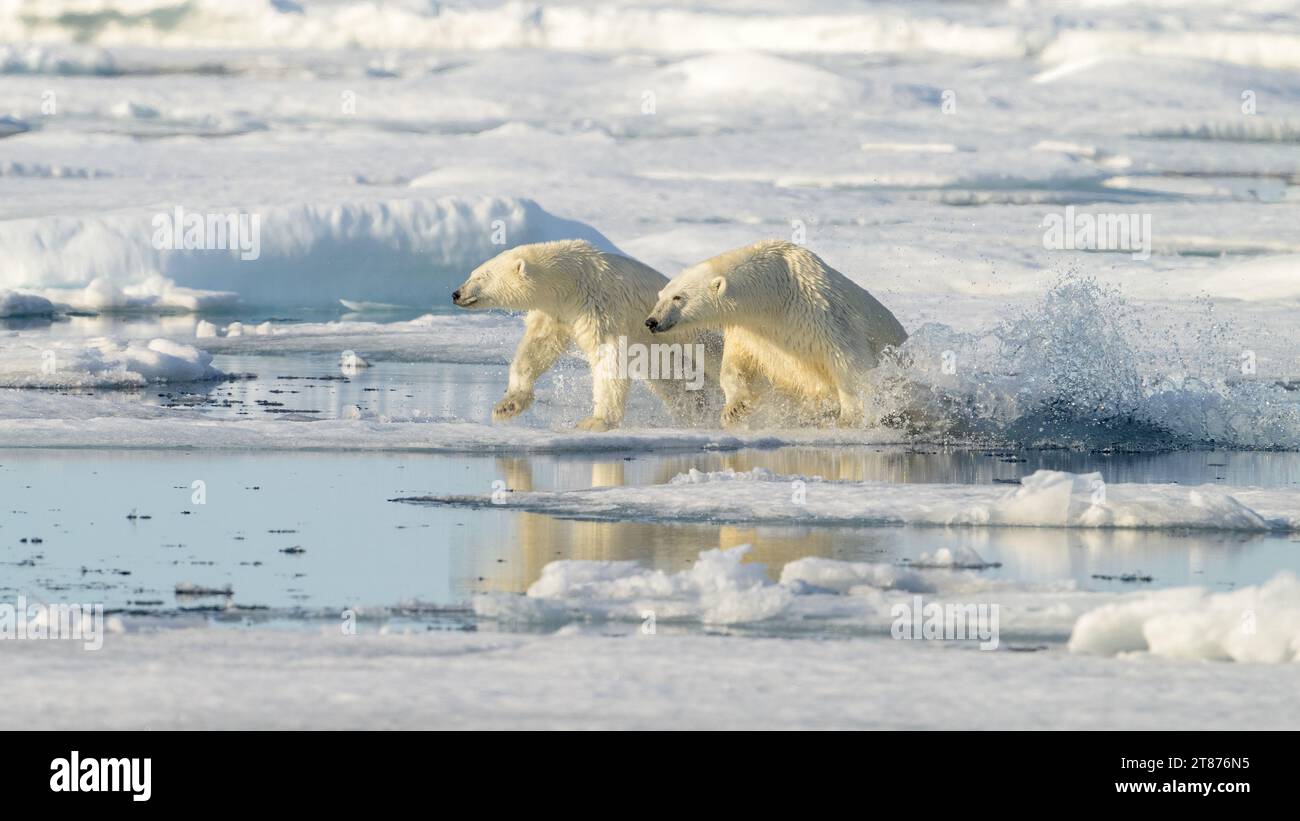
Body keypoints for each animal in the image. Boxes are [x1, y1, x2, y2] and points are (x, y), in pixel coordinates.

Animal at [453, 240, 717, 431]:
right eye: (472, 272)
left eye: (481, 276)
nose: (456, 294)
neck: (574, 281)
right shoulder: (558, 313)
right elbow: (537, 347)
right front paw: (507, 405)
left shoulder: (602, 306)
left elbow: (609, 357)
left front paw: (595, 421)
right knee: (674, 383)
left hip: (699, 336)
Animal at [643, 240, 907, 429]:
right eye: (661, 295)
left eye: (678, 297)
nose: (651, 321)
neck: (776, 293)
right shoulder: (748, 330)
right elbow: (735, 365)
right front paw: (733, 410)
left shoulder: (821, 314)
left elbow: (848, 362)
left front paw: (850, 417)